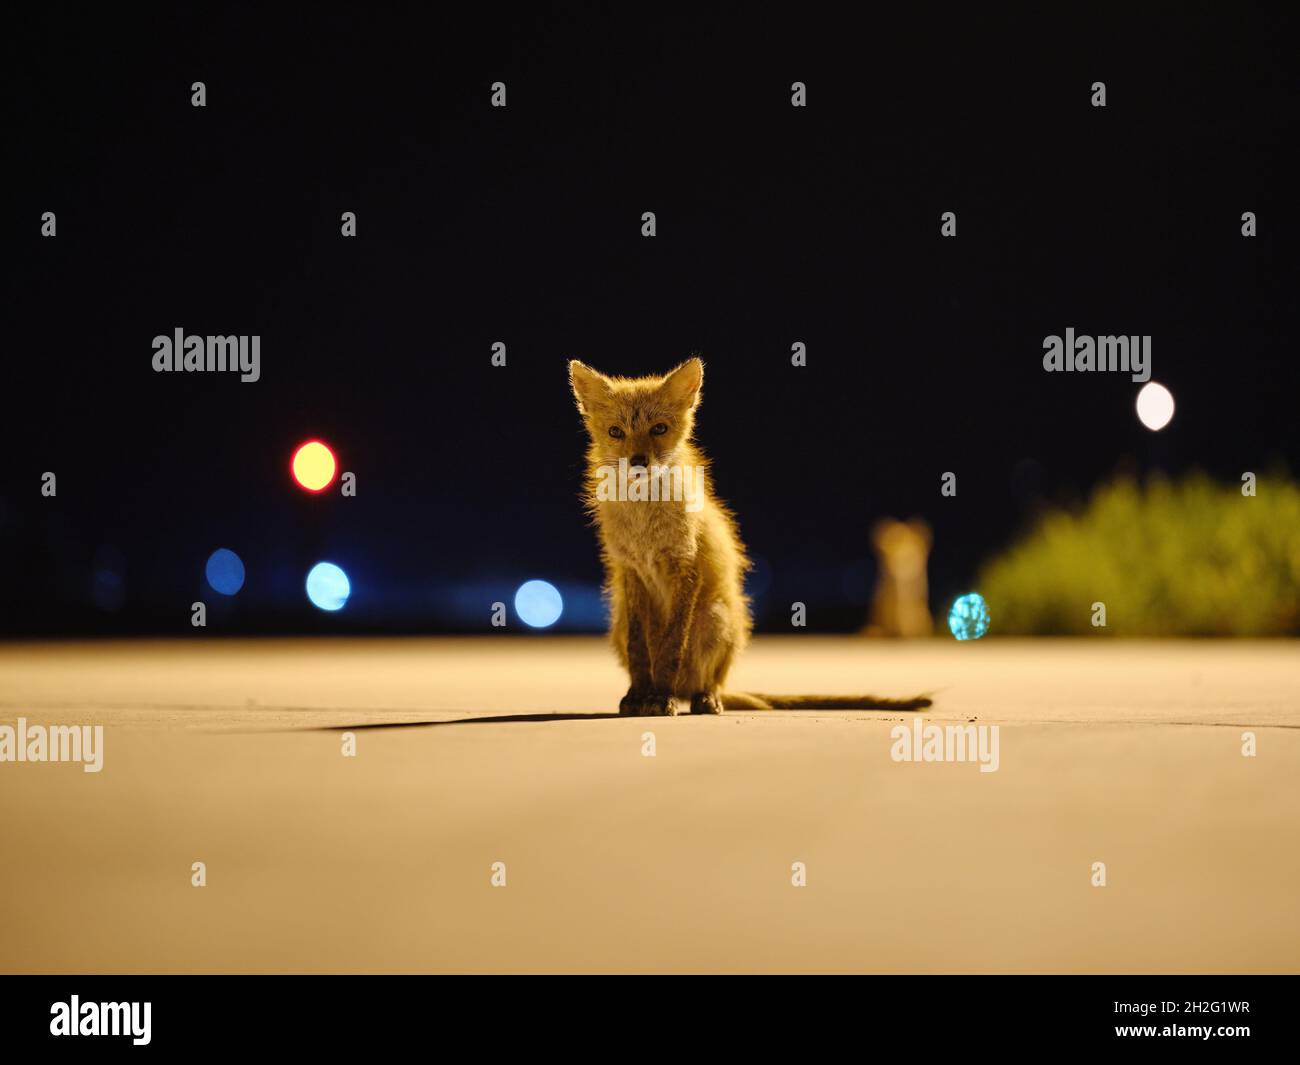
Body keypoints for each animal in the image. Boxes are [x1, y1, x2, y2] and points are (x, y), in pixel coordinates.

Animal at [568, 356, 933, 716]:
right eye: (616, 432)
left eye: (659, 428)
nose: (638, 462)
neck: (644, 521)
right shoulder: (630, 569)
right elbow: (640, 651)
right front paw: (640, 696)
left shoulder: (686, 565)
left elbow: (672, 648)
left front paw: (660, 697)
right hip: (618, 621)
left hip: (716, 618)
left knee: (707, 683)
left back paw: (703, 699)